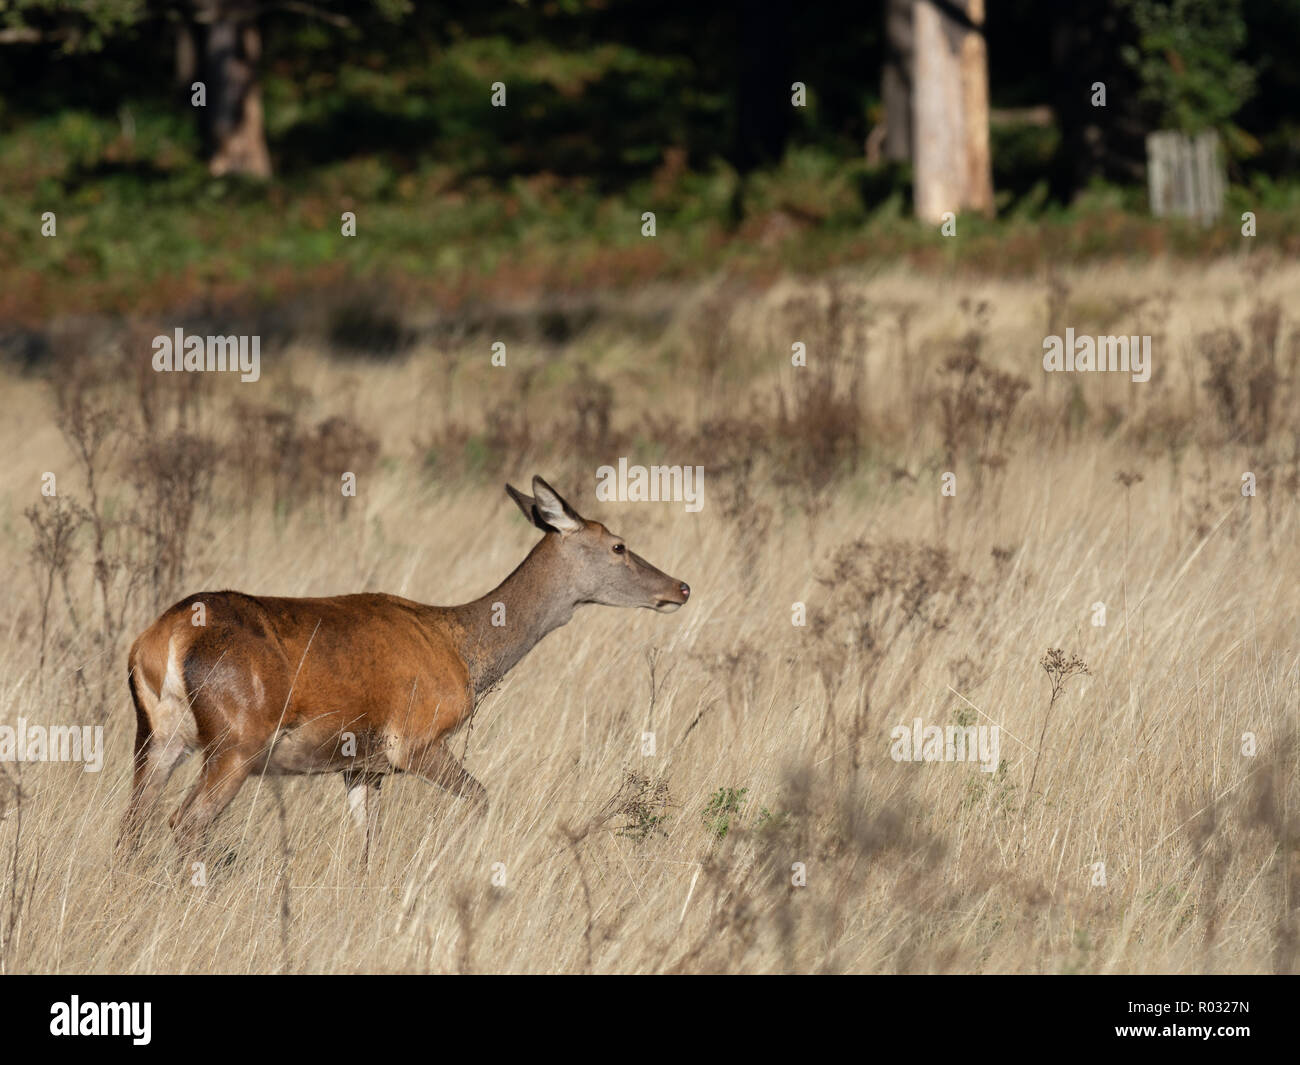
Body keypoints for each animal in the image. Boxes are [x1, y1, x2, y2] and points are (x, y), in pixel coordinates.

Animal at [117, 476, 690, 865]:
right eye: (618, 545)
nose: (680, 587)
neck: (464, 651)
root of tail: (163, 638)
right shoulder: (414, 740)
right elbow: (482, 800)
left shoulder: (362, 764)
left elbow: (366, 846)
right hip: (238, 738)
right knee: (183, 821)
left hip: (158, 735)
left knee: (132, 824)